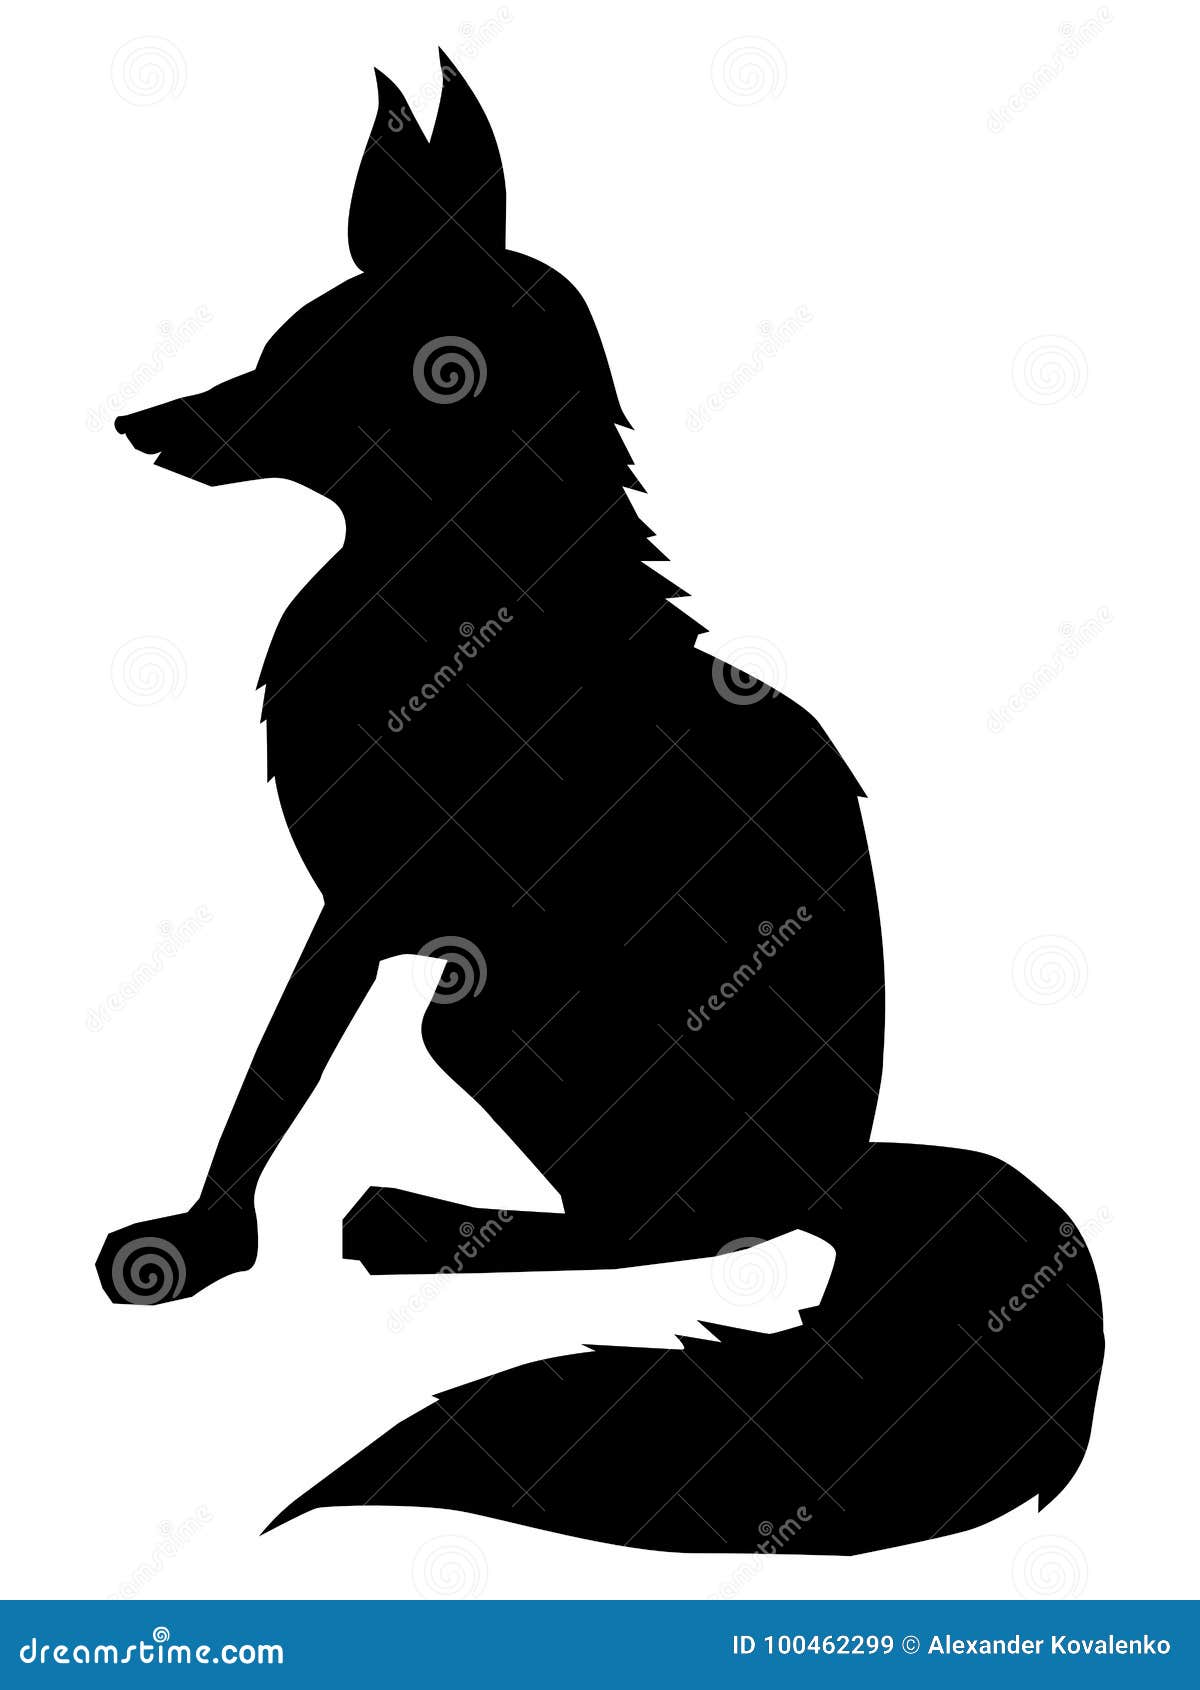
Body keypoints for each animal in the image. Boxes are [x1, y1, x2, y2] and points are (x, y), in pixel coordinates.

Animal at [101, 53, 1103, 1554]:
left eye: (299, 362)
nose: (140, 426)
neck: (460, 582)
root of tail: (846, 1167)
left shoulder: (370, 897)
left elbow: (272, 1072)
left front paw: (197, 1245)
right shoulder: (364, 903)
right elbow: (271, 1071)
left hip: (485, 1013)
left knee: (675, 1226)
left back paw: (419, 1221)